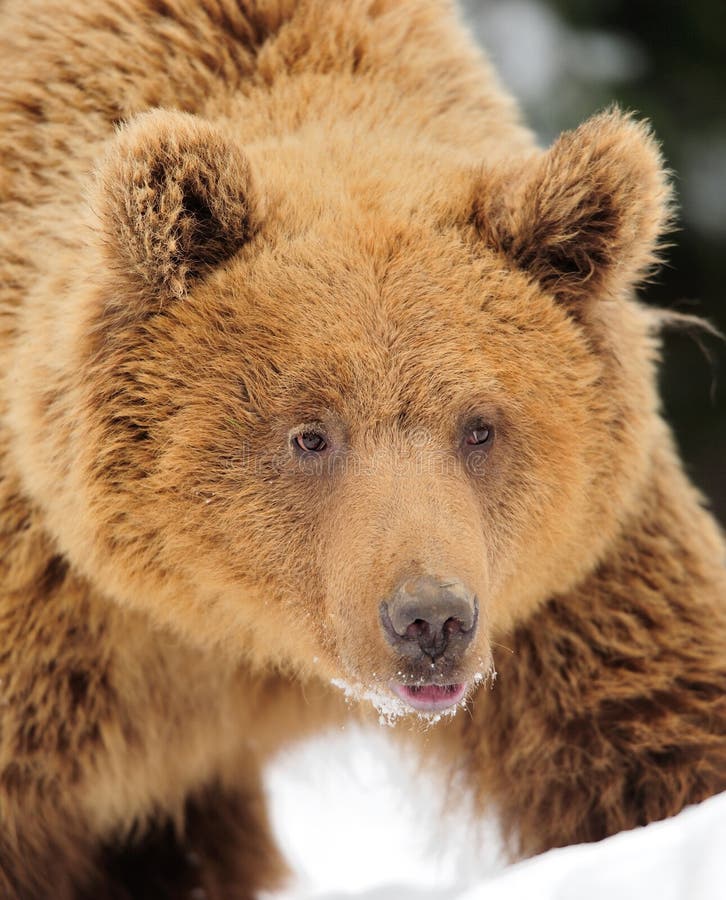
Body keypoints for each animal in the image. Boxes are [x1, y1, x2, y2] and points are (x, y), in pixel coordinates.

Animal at [1, 0, 725, 897]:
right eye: (309, 432)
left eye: (480, 425)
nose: (430, 617)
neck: (242, 633)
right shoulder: (57, 606)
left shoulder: (567, 579)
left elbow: (654, 723)